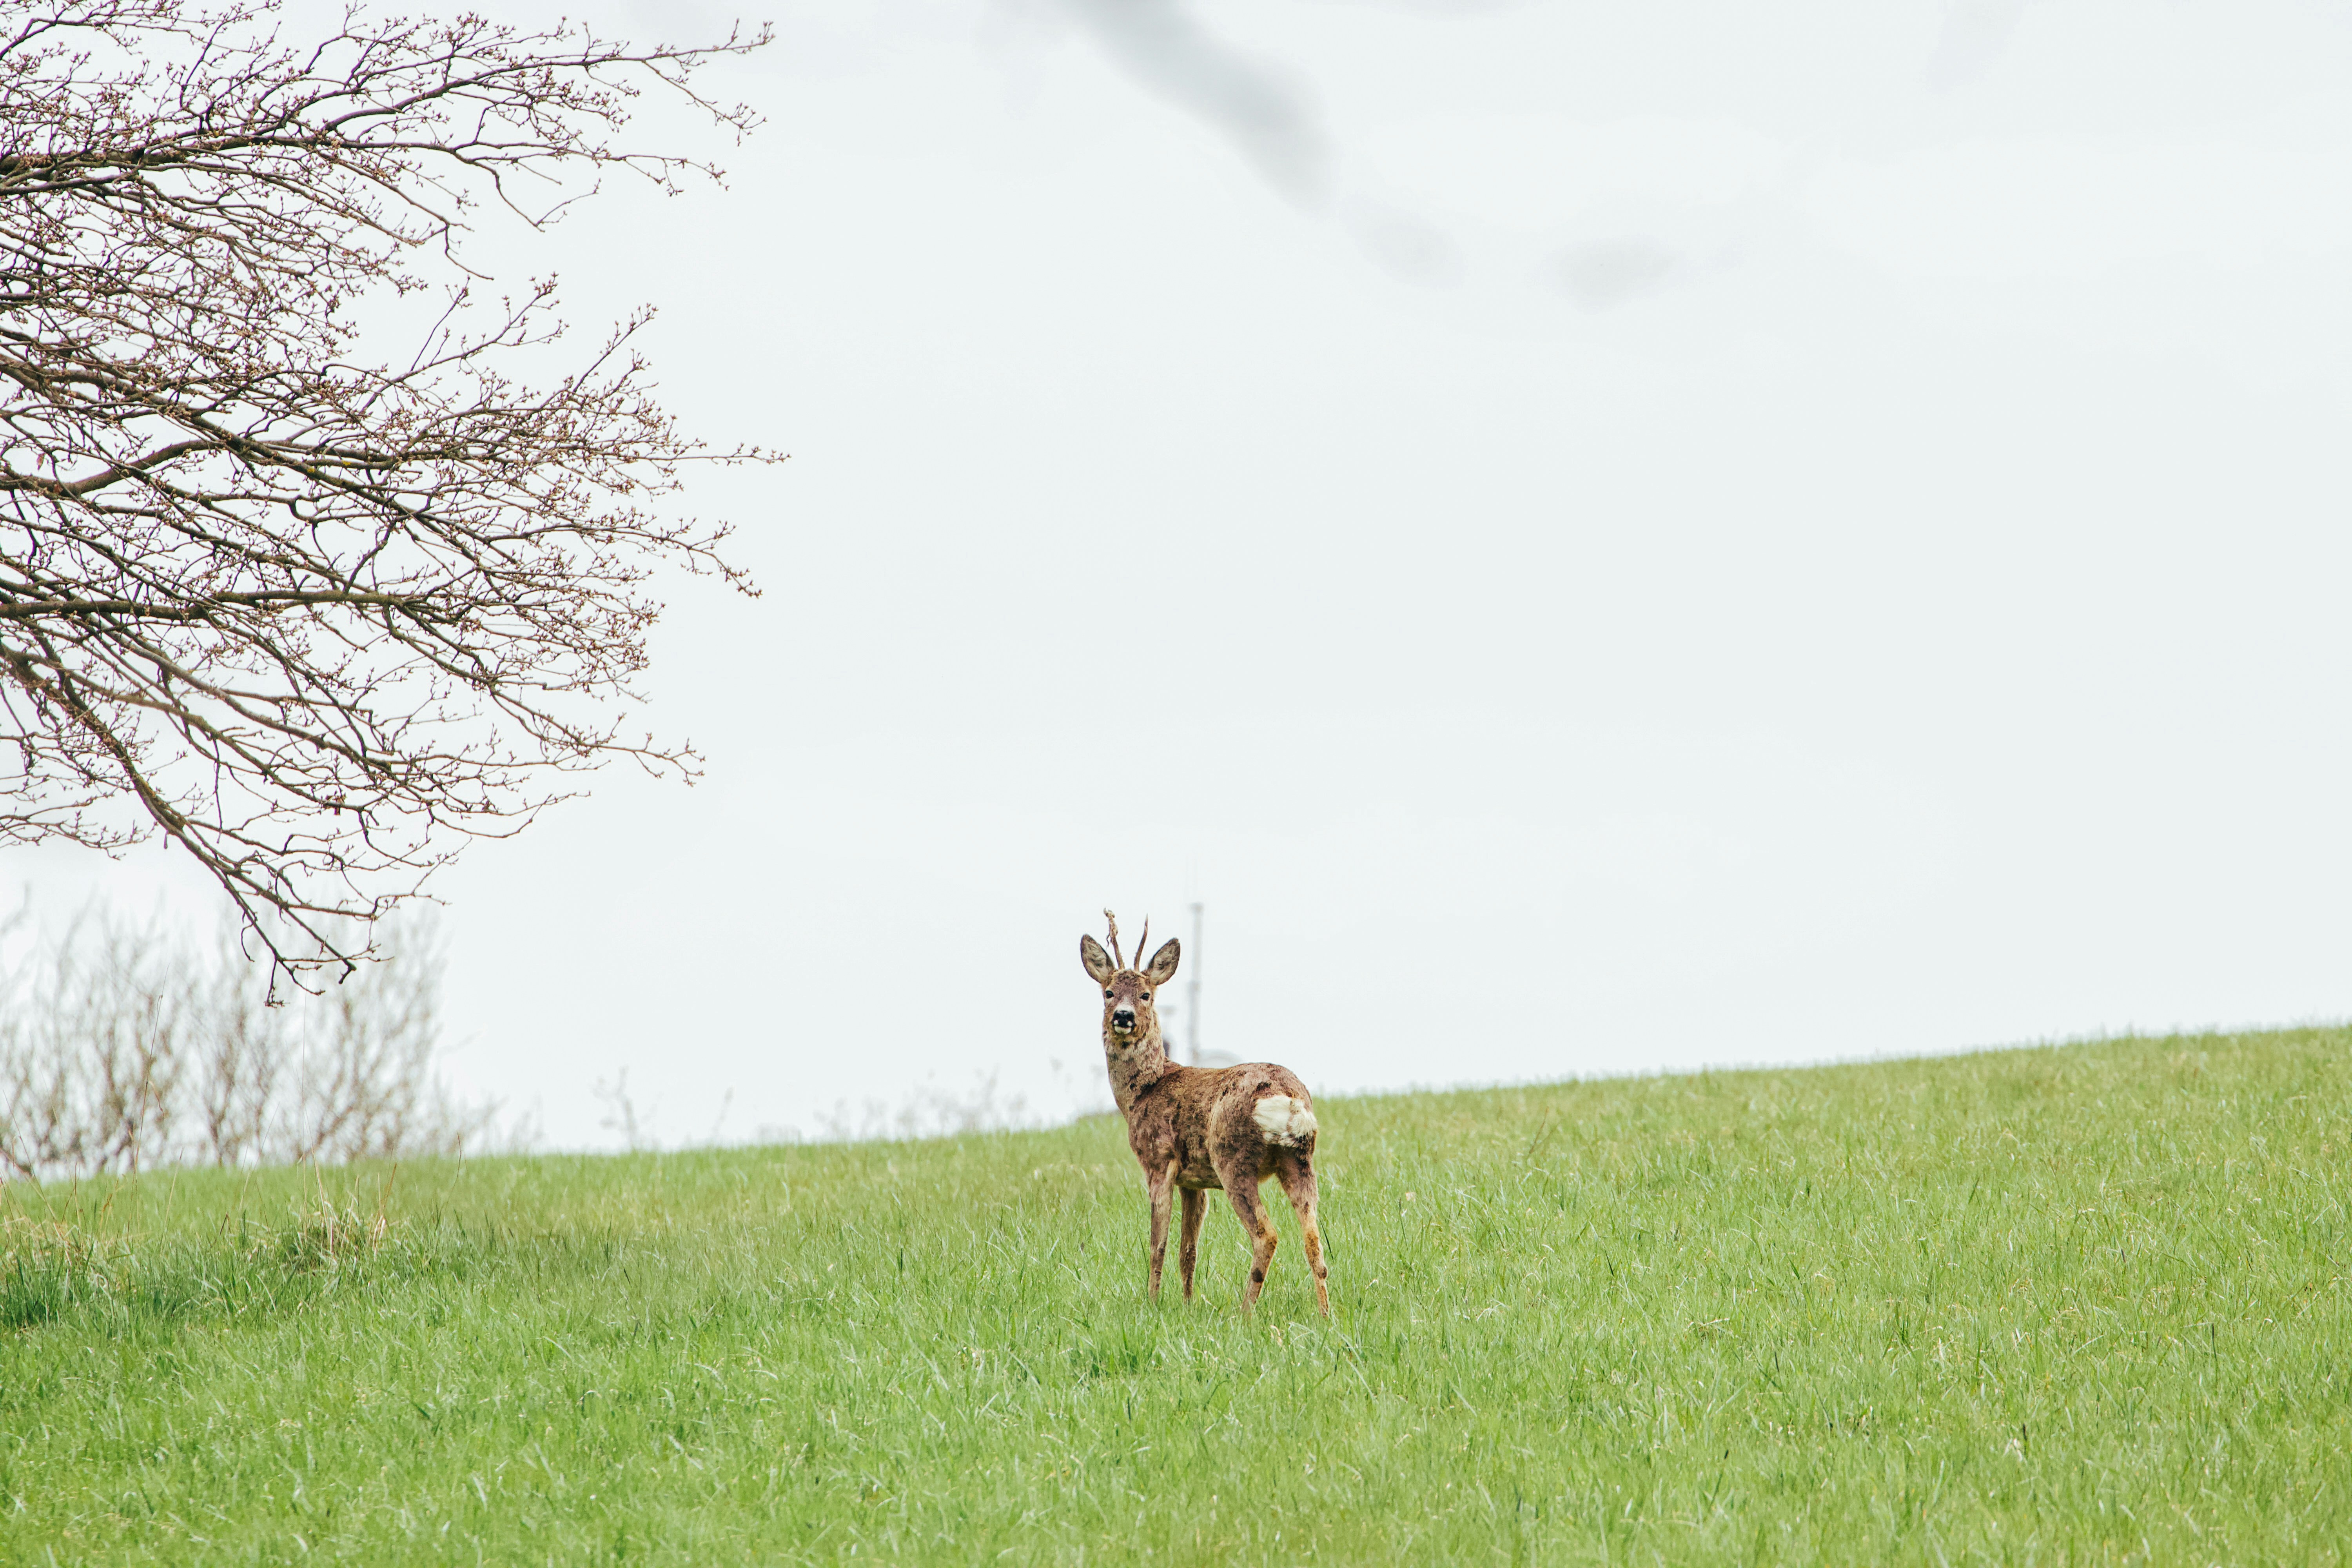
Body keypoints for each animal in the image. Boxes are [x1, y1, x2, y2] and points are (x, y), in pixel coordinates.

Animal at [1080, 910, 1330, 1316]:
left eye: (1147, 994)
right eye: (1109, 992)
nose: (1123, 1016)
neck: (1142, 1091)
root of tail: (1288, 1097)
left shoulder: (1159, 1162)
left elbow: (1158, 1245)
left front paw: (1153, 1303)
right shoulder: (1193, 1182)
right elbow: (1189, 1251)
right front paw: (1188, 1304)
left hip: (1233, 1158)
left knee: (1267, 1235)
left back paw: (1245, 1313)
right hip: (1300, 1159)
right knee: (1314, 1242)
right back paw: (1325, 1317)